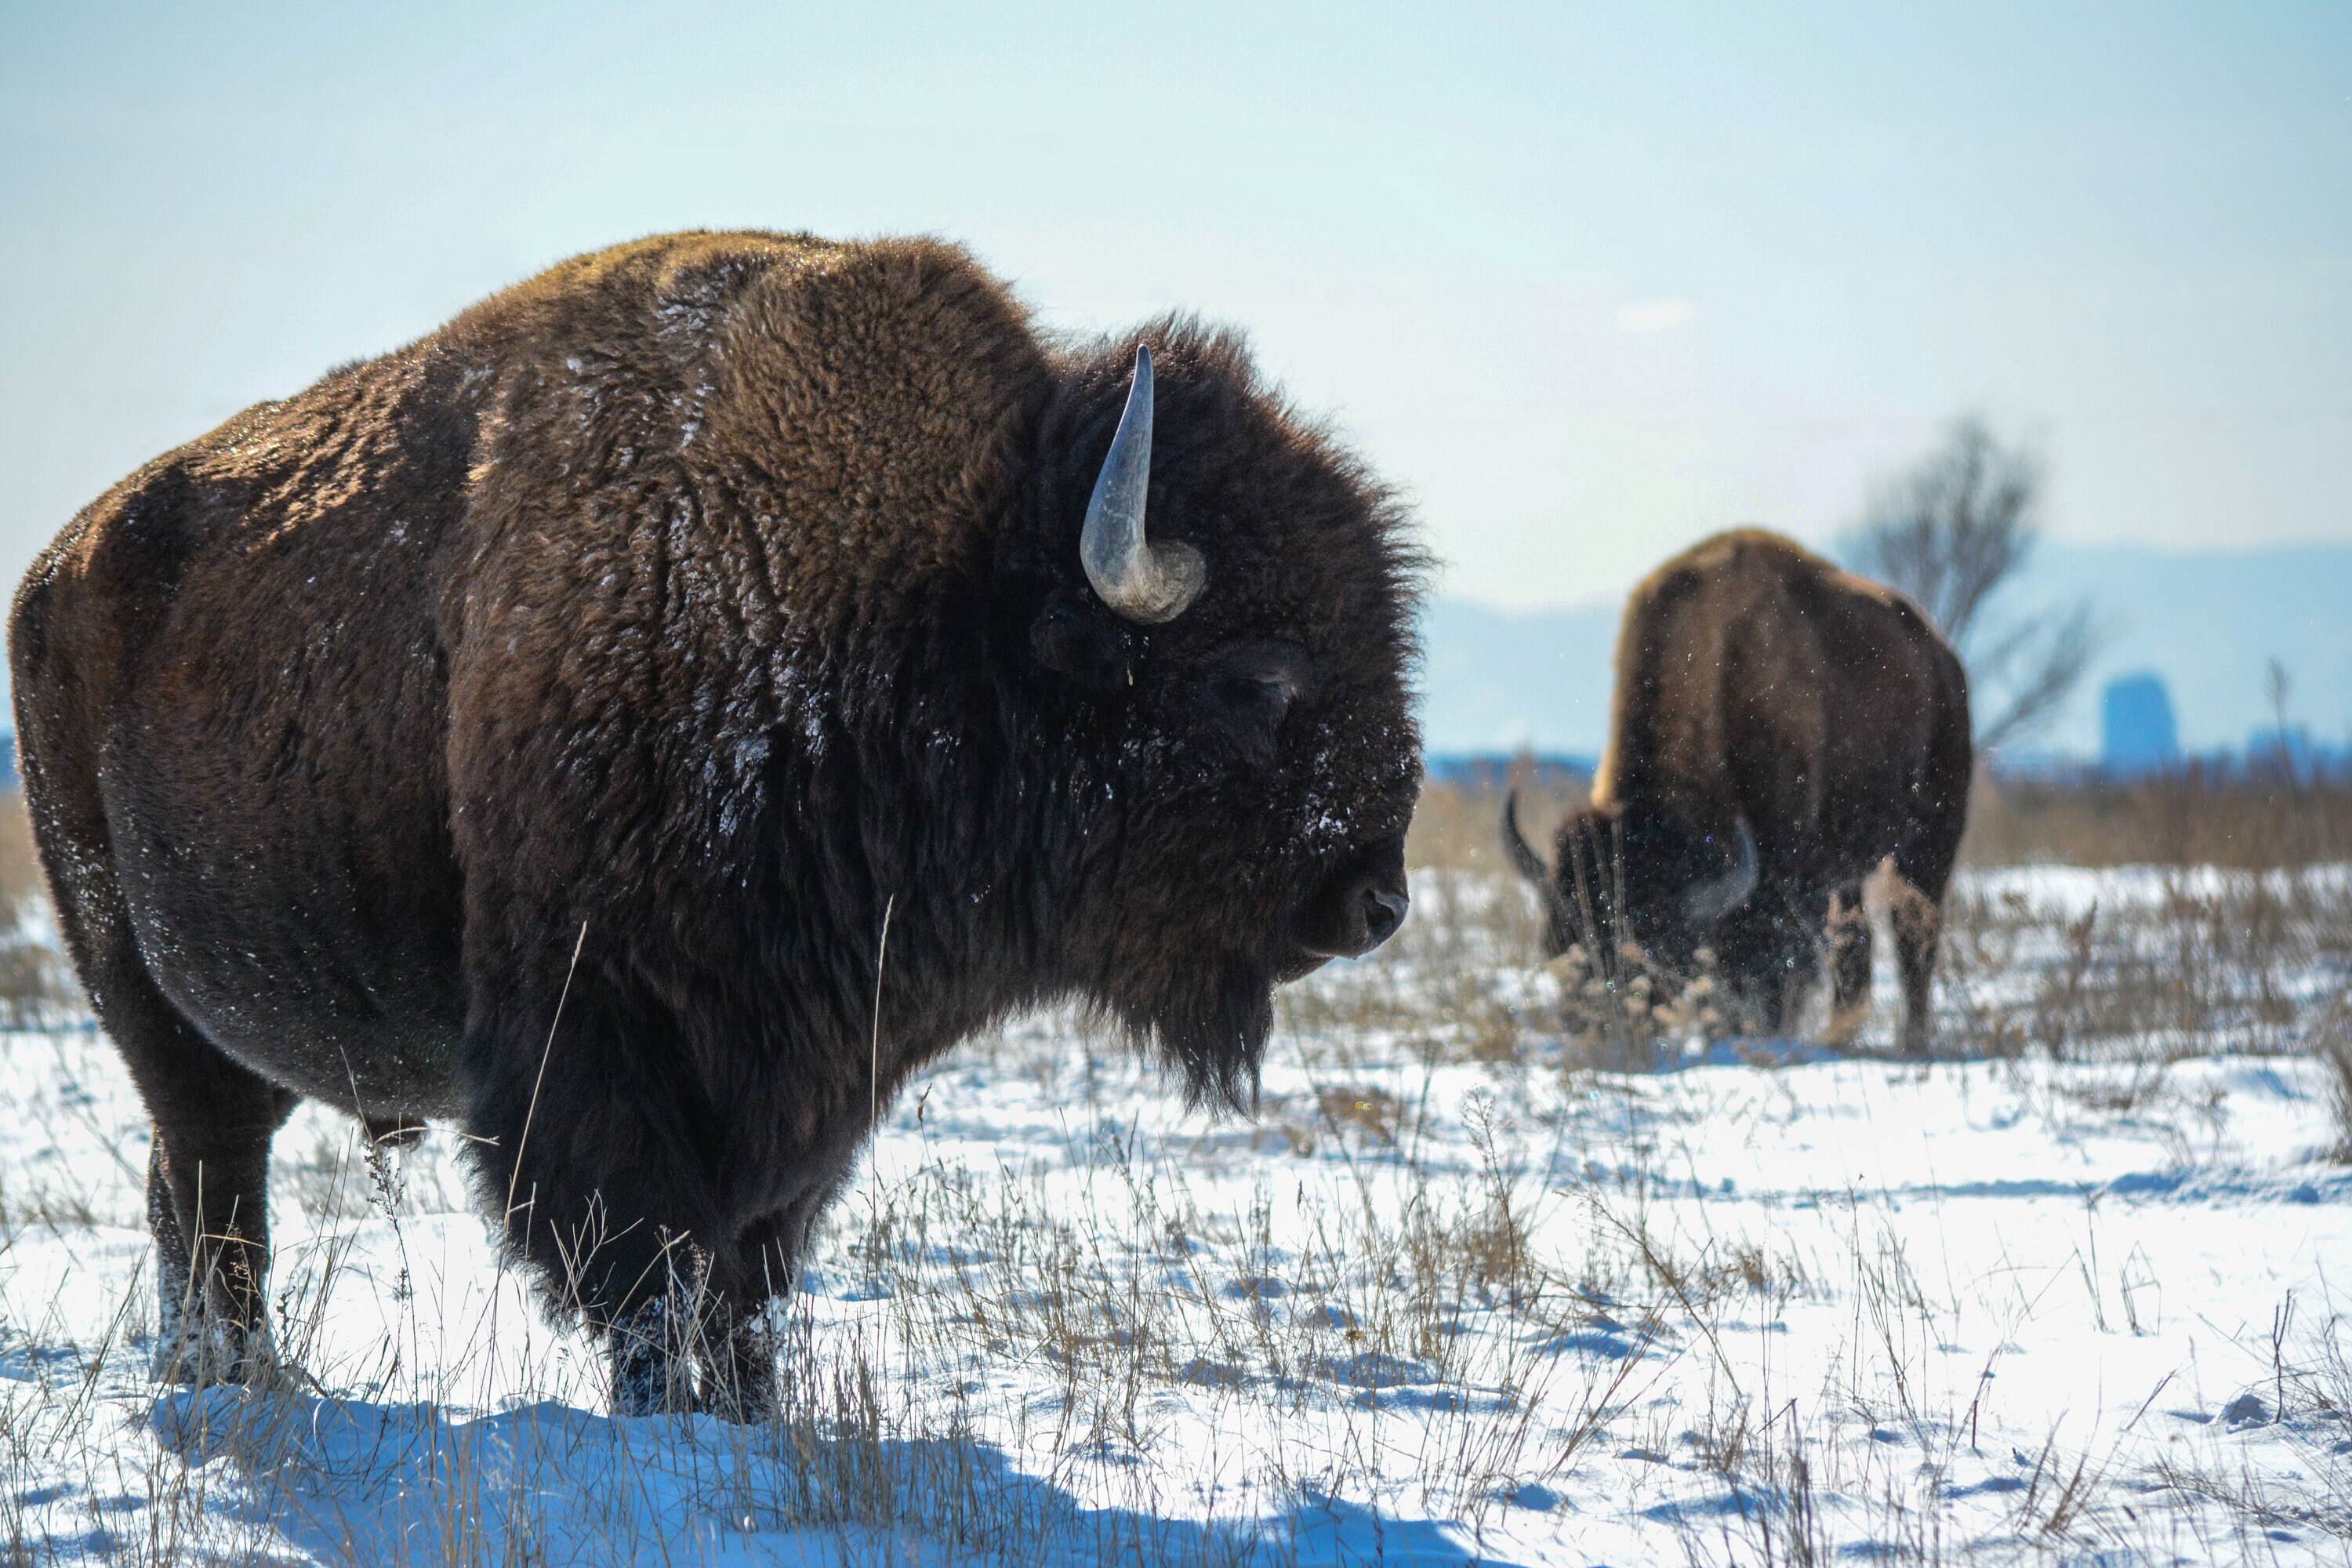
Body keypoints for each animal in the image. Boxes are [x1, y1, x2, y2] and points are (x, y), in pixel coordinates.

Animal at [11, 231, 1423, 1415]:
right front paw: (671, 1421)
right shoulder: (601, 1058)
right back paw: (237, 1384)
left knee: (190, 1188)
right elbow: (650, 1274)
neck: (923, 602)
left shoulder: (813, 1081)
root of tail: (54, 570)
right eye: (1257, 681)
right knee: (213, 1183)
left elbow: (748, 1275)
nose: (1375, 900)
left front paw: (748, 1414)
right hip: (142, 998)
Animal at [1502, 529, 1970, 1051]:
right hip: (1851, 873)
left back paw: (1912, 1042)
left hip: (1930, 842)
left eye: (1652, 945)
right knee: (1856, 949)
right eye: (1554, 943)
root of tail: (1944, 658)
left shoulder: (1787, 886)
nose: (1604, 1038)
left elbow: (1769, 970)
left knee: (1913, 939)